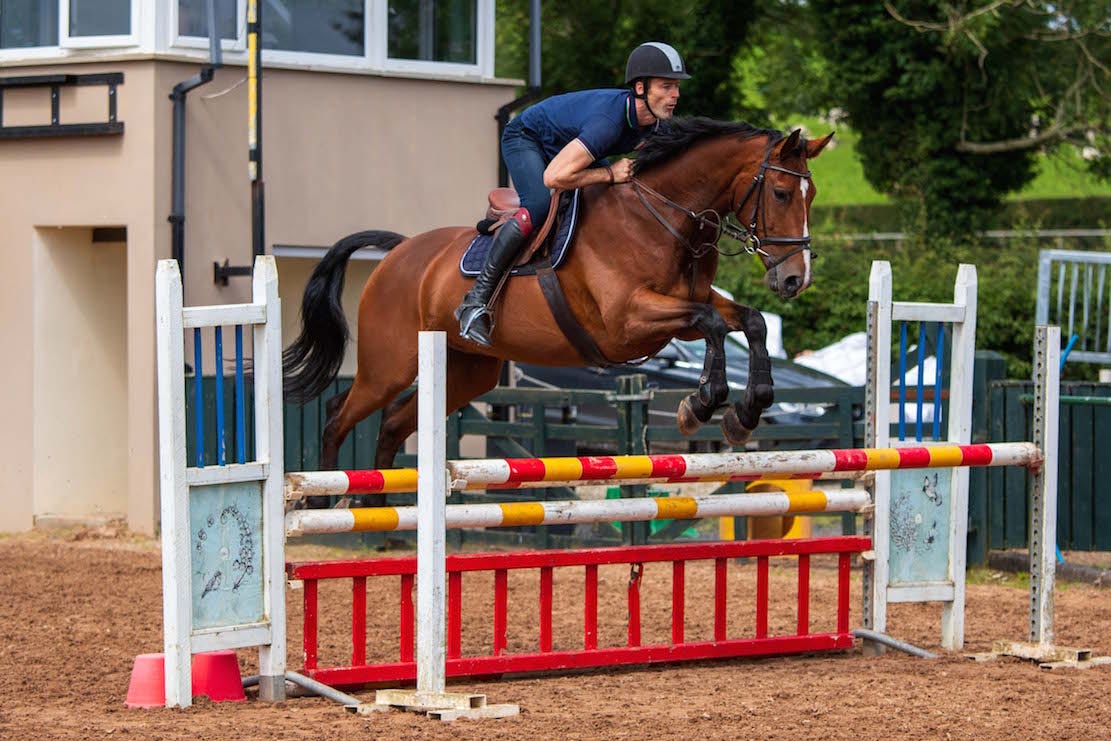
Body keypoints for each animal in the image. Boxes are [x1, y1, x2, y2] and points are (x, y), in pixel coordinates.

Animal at [283, 118, 833, 491]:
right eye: (781, 192)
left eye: (812, 196)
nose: (795, 279)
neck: (661, 216)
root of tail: (398, 252)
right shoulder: (628, 323)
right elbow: (715, 323)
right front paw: (700, 404)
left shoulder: (676, 313)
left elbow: (749, 321)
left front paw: (748, 408)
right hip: (389, 365)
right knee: (337, 413)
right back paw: (324, 501)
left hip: (467, 371)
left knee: (396, 423)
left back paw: (379, 514)